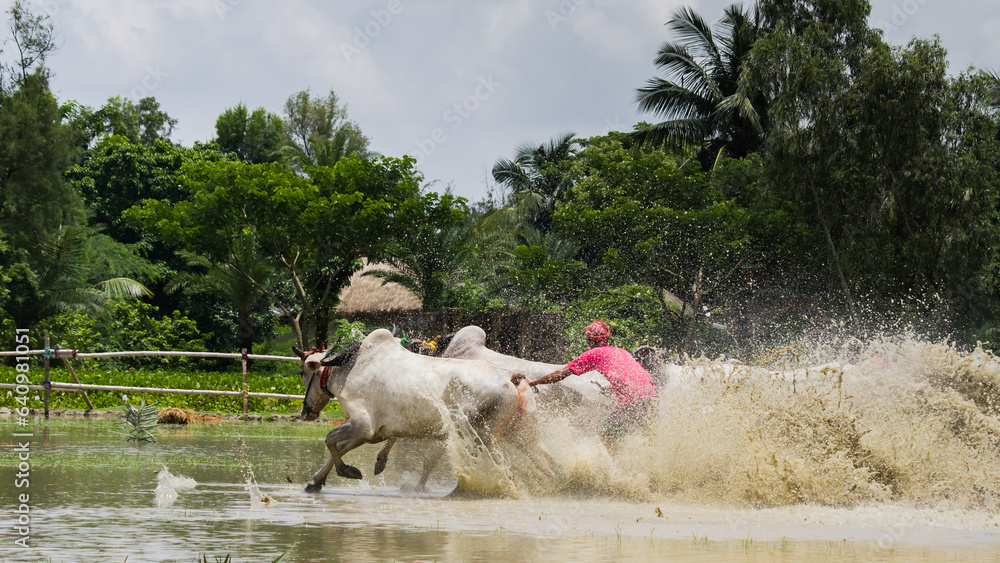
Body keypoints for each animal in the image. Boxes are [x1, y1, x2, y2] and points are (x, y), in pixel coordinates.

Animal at [296, 329, 557, 493]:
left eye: (301, 372)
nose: (305, 413)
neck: (349, 367)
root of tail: (510, 376)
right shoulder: (374, 433)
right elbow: (340, 448)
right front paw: (315, 482)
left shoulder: (363, 425)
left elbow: (330, 441)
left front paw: (348, 471)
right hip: (522, 434)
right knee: (546, 462)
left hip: (483, 435)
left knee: (504, 468)